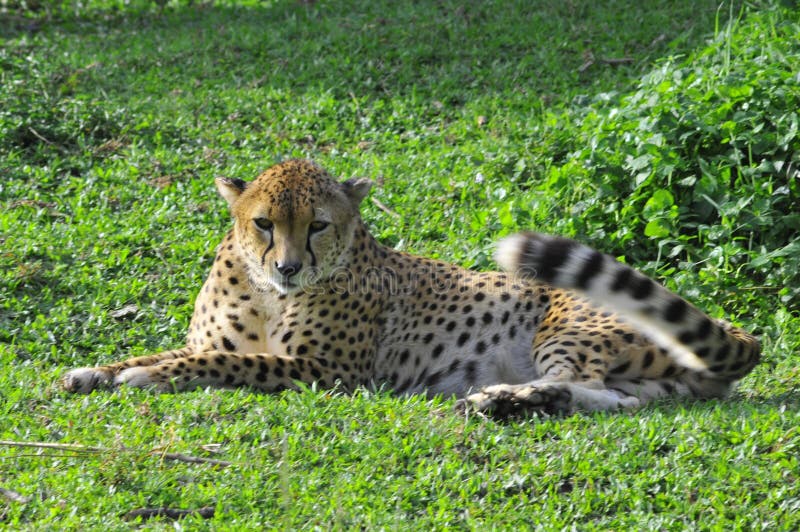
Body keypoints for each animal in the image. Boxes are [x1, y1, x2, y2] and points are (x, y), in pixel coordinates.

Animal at [61, 159, 760, 416]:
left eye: (317, 225)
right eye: (263, 223)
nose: (289, 267)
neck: (265, 292)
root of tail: (742, 336)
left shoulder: (328, 371)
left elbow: (228, 362)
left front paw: (148, 377)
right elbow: (172, 351)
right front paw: (95, 371)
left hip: (565, 324)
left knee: (587, 385)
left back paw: (502, 397)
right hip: (645, 378)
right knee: (616, 400)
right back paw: (516, 400)